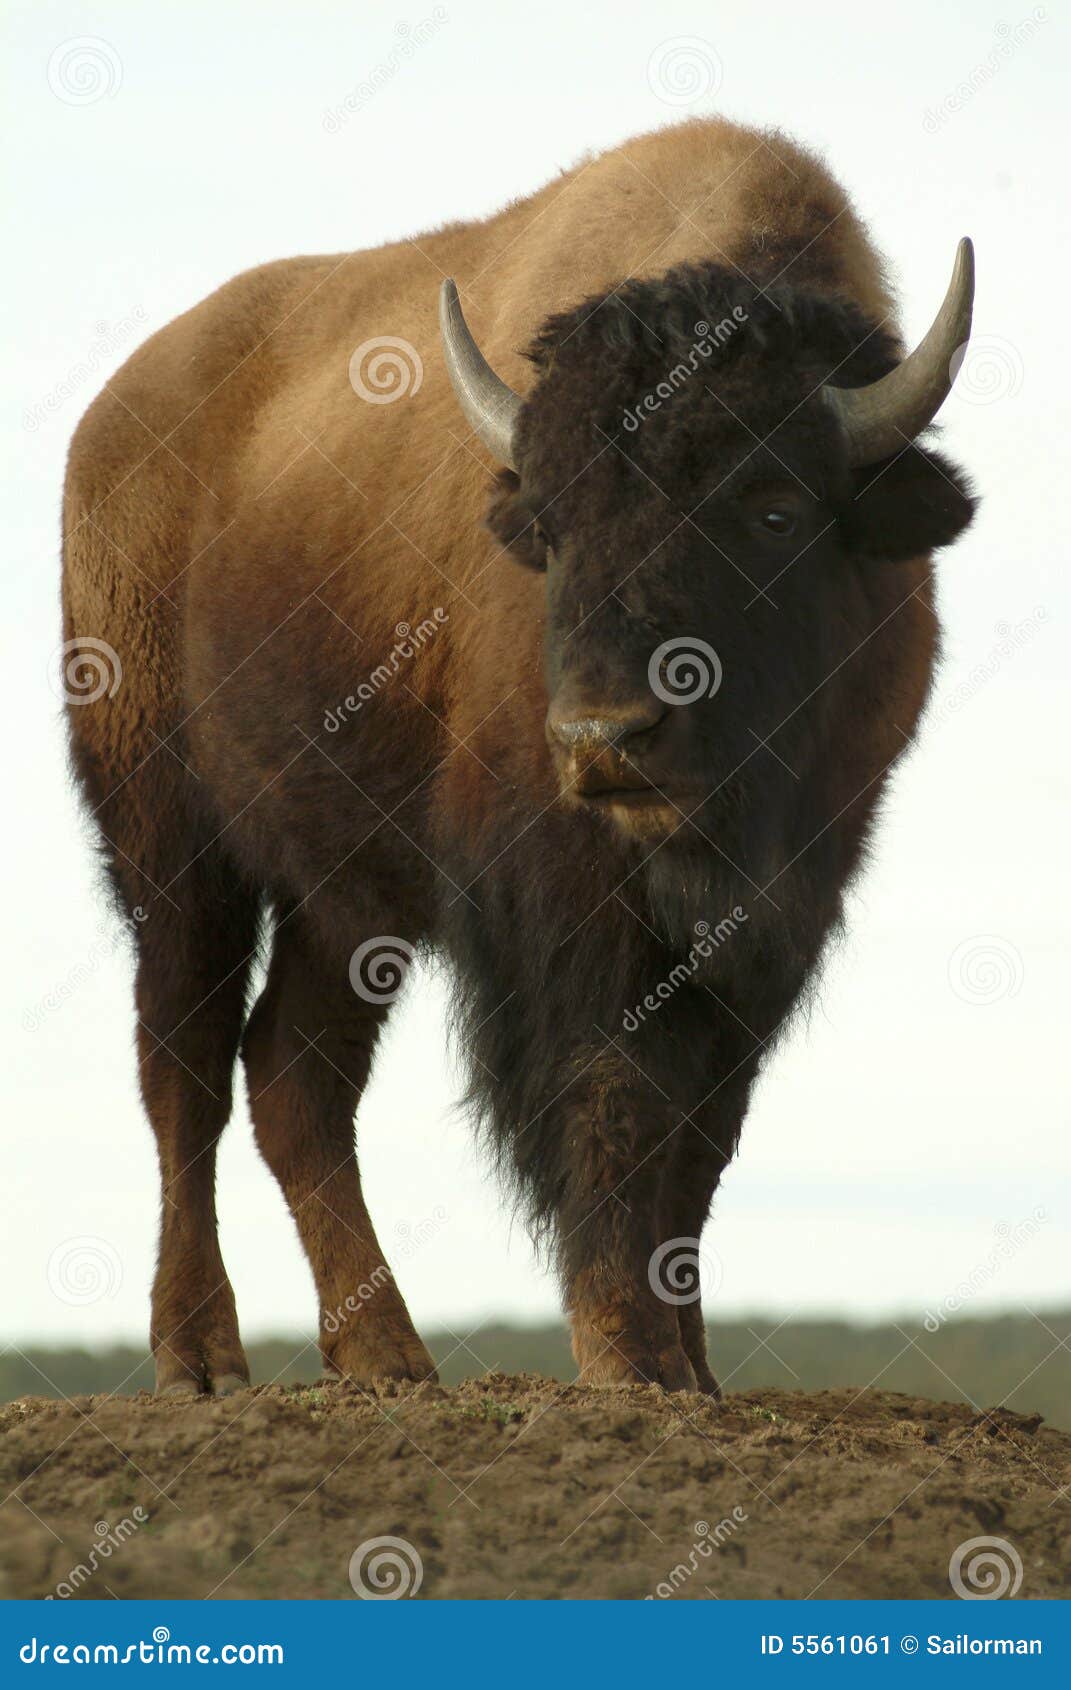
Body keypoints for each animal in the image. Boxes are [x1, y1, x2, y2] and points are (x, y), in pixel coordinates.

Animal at [61, 116, 975, 1396]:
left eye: (776, 508)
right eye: (550, 526)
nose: (606, 738)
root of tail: (112, 419)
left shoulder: (782, 900)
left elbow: (704, 1128)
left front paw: (693, 1370)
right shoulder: (564, 897)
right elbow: (612, 1097)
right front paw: (628, 1361)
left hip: (346, 898)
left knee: (294, 1076)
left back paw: (389, 1358)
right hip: (171, 845)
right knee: (182, 1066)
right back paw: (202, 1357)